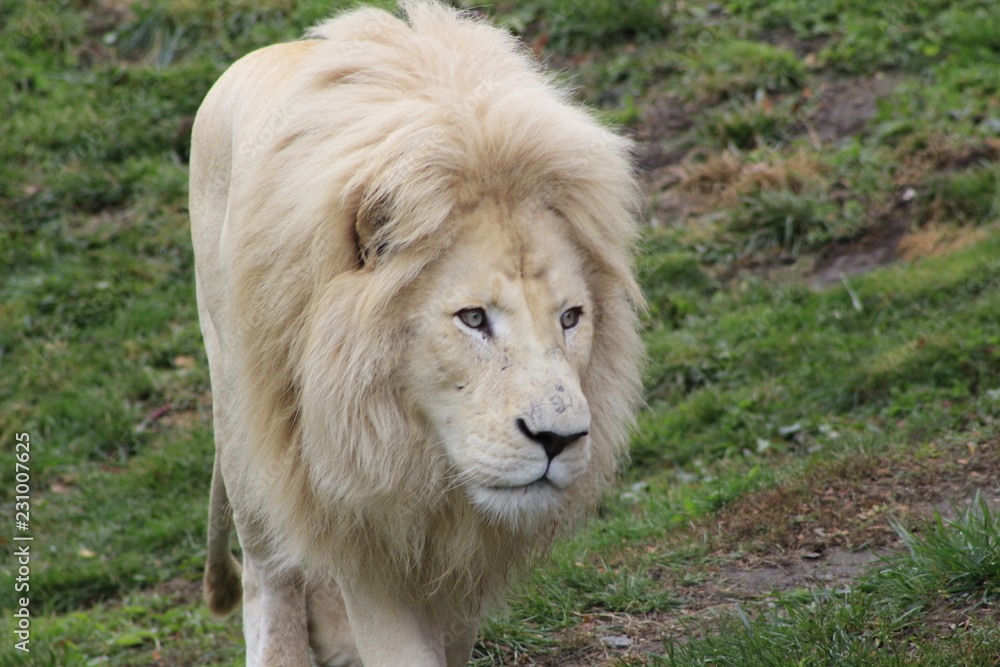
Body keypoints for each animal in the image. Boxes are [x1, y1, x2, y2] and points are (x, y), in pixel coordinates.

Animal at [188, 2, 644, 665]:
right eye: (473, 318)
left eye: (570, 318)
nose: (558, 440)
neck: (419, 451)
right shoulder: (355, 514)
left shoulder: (461, 561)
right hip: (241, 424)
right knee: (268, 578)